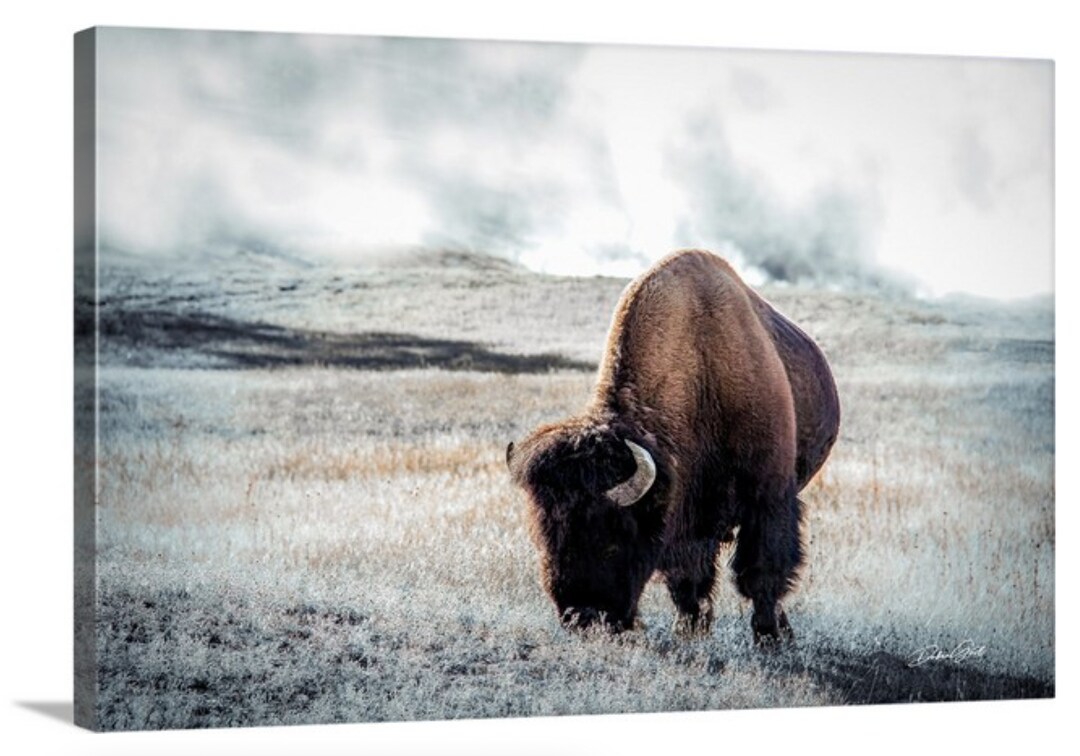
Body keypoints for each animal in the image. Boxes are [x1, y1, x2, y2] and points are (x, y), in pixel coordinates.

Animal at [506, 249, 840, 643]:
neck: (702, 371)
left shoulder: (768, 498)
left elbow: (761, 573)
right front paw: (690, 629)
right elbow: (688, 578)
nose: (582, 617)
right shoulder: (690, 518)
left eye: (613, 537)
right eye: (545, 535)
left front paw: (767, 635)